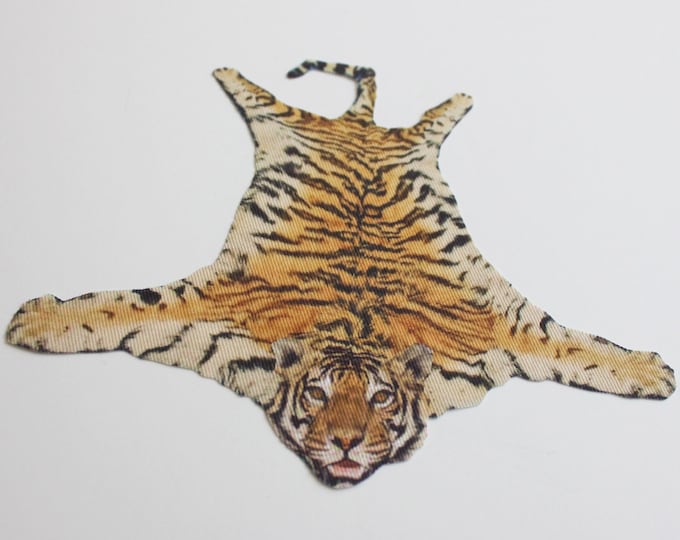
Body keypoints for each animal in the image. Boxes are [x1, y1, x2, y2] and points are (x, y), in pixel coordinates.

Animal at [5, 60, 675, 488]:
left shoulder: (502, 325)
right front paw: (34, 320)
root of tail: (360, 125)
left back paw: (462, 97)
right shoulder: (208, 303)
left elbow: (578, 346)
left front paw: (652, 372)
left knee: (432, 114)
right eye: (318, 395)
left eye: (381, 398)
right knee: (262, 91)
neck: (357, 330)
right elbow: (120, 305)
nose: (347, 441)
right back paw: (227, 71)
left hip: (408, 137)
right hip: (287, 117)